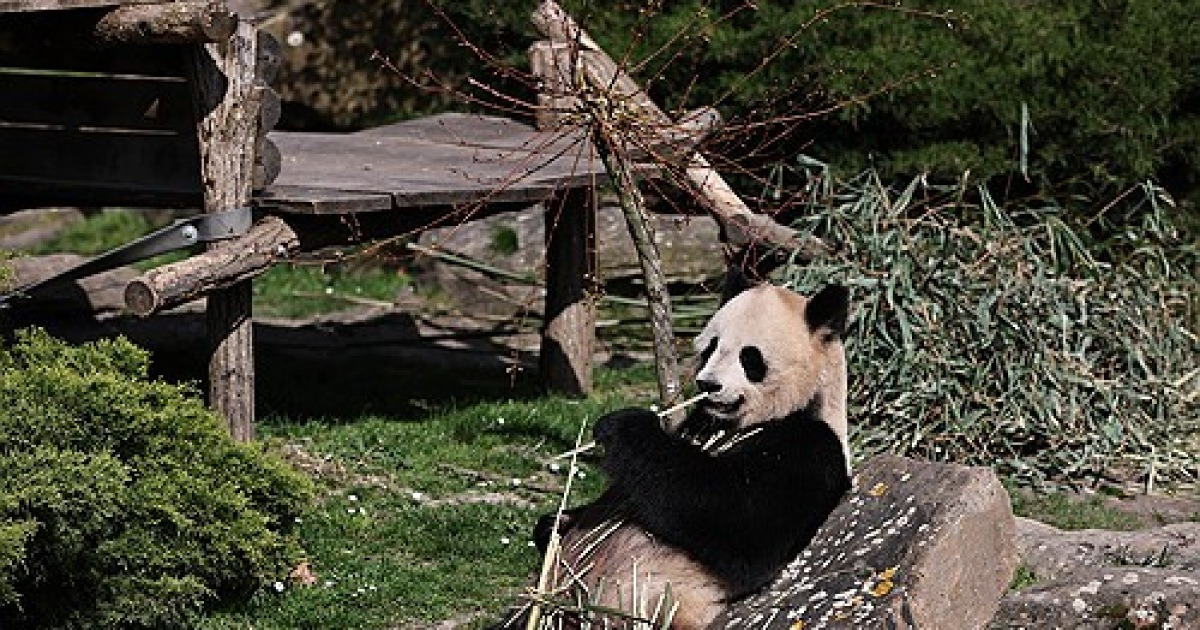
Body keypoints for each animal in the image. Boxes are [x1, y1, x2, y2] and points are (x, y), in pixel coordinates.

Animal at [527, 268, 853, 630]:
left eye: (750, 357)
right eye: (711, 347)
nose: (707, 384)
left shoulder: (810, 450)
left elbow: (739, 520)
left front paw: (622, 426)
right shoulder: (699, 423)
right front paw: (555, 523)